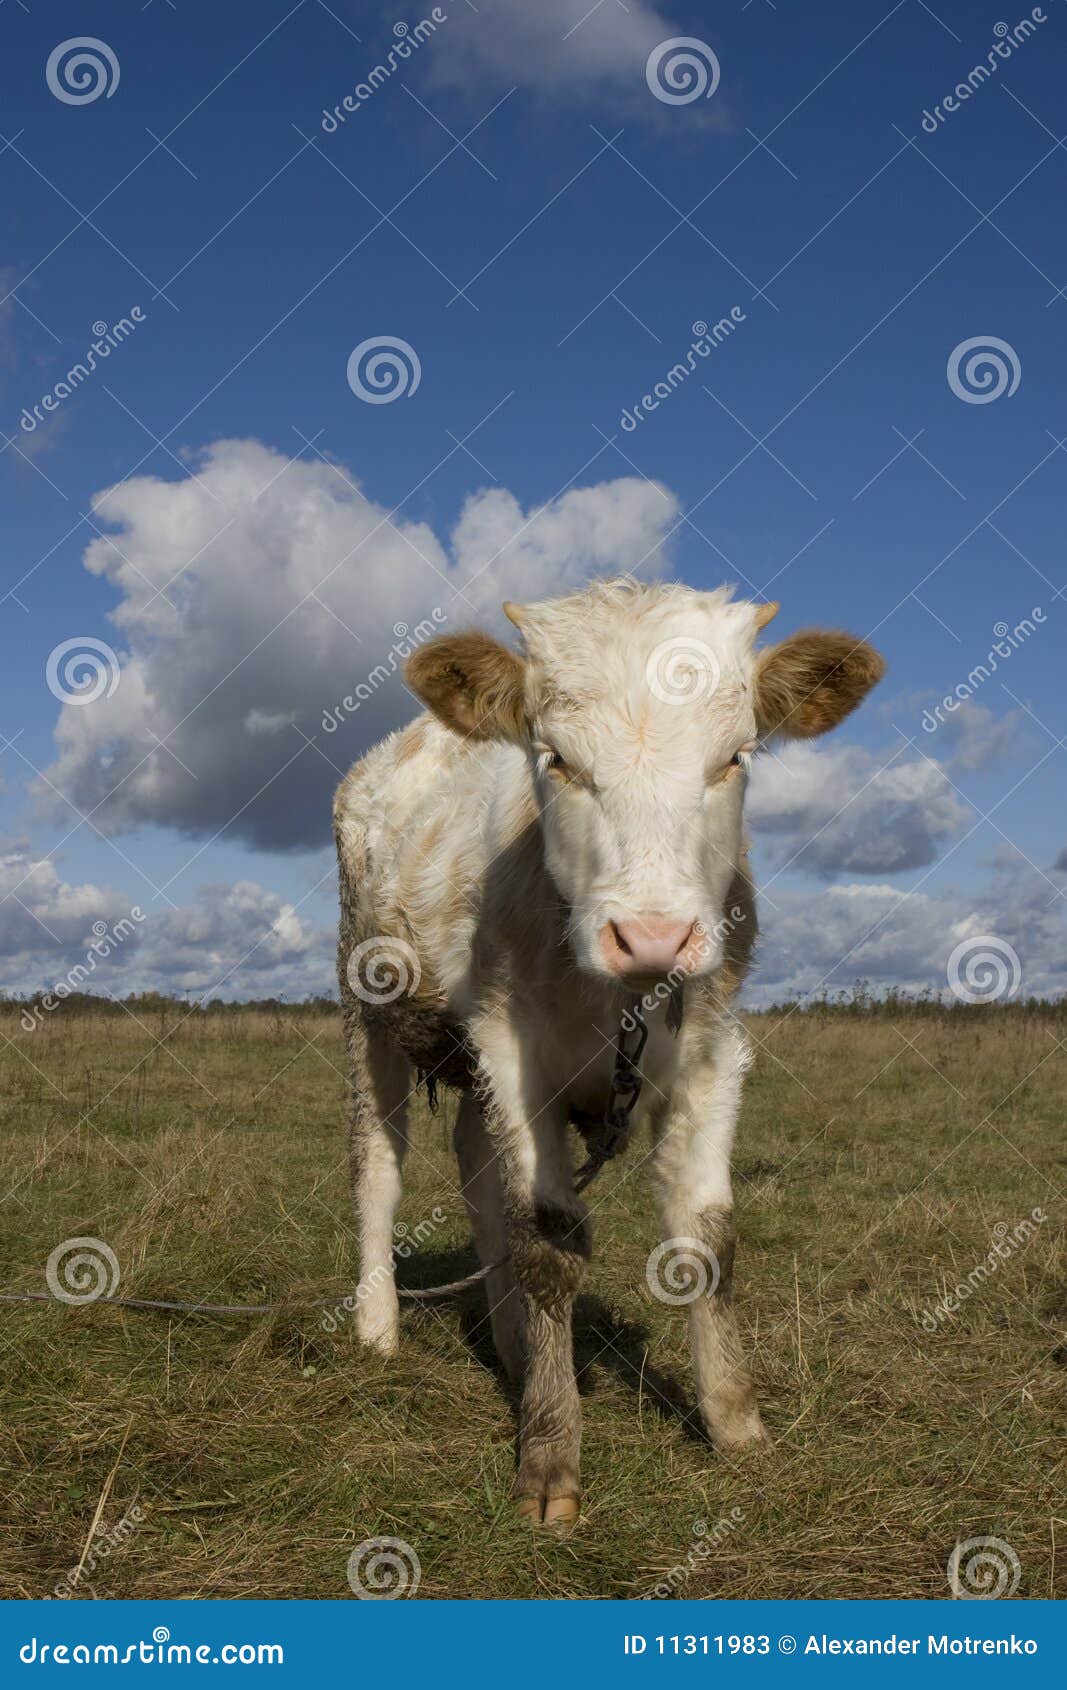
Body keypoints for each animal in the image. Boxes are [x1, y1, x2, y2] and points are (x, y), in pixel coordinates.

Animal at [333, 579, 884, 1528]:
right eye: (555, 759)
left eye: (735, 758)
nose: (653, 935)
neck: (620, 1003)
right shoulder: (514, 1053)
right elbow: (549, 1243)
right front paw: (550, 1457)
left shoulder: (711, 1056)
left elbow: (707, 1238)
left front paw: (736, 1425)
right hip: (369, 1008)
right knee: (383, 1163)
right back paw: (379, 1326)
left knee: (477, 1169)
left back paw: (512, 1343)